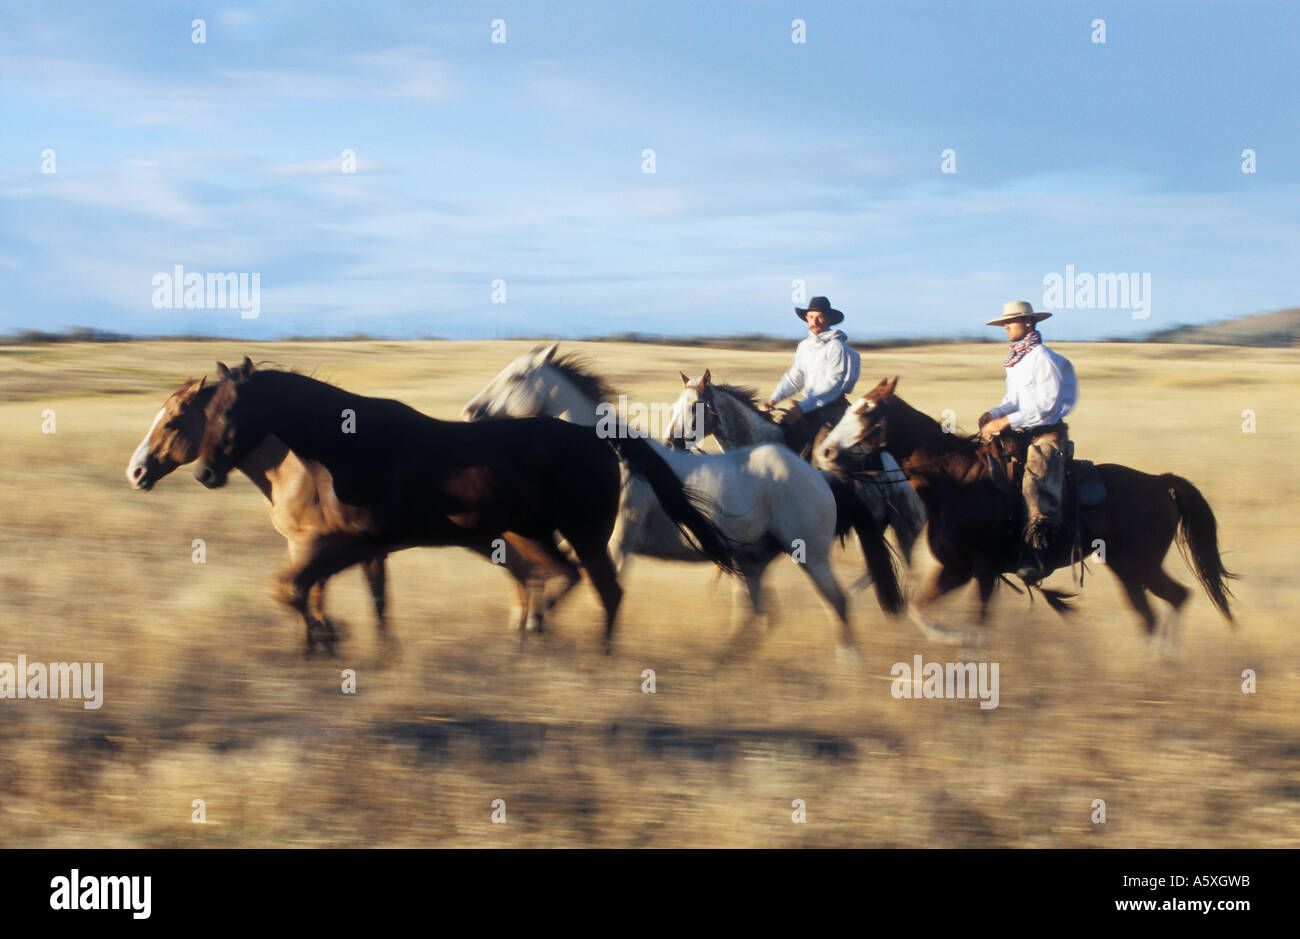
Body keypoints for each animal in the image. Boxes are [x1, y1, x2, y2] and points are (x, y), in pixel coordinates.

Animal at [126, 376, 580, 648]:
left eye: (173, 421)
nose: (136, 472)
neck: (298, 468)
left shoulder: (333, 545)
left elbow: (317, 593)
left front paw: (330, 638)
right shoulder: (309, 547)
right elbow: (311, 592)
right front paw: (317, 642)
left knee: (543, 574)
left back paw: (531, 628)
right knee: (530, 576)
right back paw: (525, 630)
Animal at [192, 358, 740, 654]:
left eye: (231, 410)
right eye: (206, 410)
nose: (204, 473)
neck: (349, 443)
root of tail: (598, 435)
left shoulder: (355, 542)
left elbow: (293, 588)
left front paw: (329, 638)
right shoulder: (360, 546)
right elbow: (334, 595)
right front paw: (338, 642)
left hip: (585, 535)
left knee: (606, 592)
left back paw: (592, 658)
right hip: (542, 533)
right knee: (562, 578)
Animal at [816, 377, 1236, 645]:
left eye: (869, 412)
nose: (827, 452)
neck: (955, 481)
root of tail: (1158, 482)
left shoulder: (983, 571)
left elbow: (978, 625)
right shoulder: (956, 570)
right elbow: (920, 610)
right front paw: (950, 640)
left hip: (1139, 564)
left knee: (1176, 599)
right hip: (1126, 569)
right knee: (1152, 613)